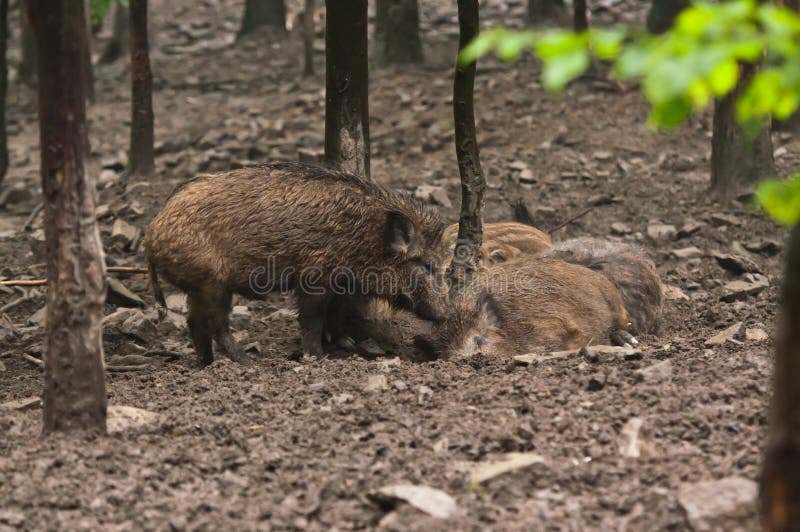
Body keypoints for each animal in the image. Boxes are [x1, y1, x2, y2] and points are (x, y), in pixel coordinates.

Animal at [145, 162, 448, 365]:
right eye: (427, 265)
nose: (446, 314)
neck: (367, 236)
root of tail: (152, 231)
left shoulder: (340, 284)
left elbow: (336, 315)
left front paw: (344, 345)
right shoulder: (314, 276)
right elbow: (313, 318)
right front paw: (317, 357)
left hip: (199, 286)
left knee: (194, 322)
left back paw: (206, 364)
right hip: (211, 283)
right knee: (214, 323)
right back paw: (249, 363)